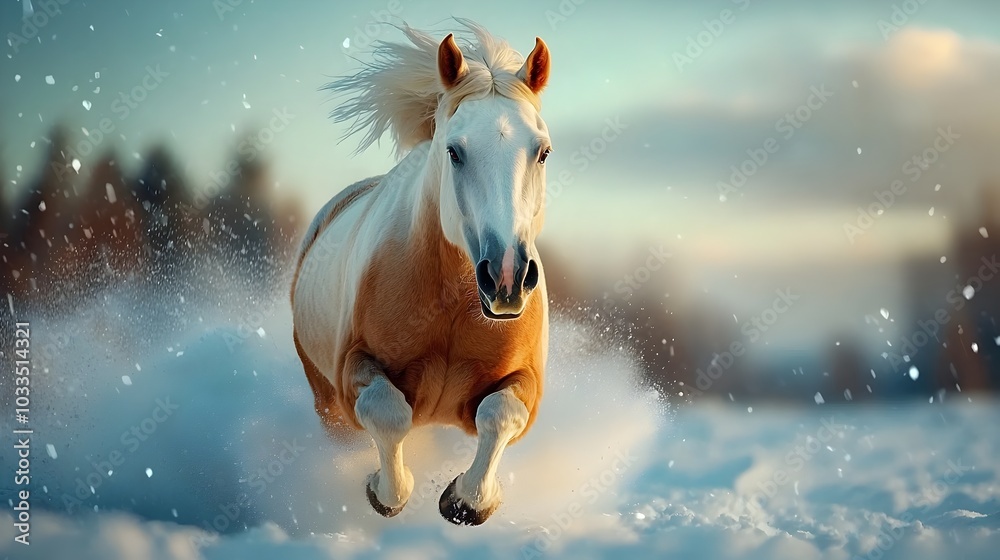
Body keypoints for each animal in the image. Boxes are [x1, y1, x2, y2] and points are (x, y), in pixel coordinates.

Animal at [290, 20, 552, 526]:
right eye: (453, 151)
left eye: (543, 152)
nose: (507, 277)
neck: (452, 306)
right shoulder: (354, 369)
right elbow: (388, 412)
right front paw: (386, 492)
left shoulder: (526, 382)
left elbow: (499, 415)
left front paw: (467, 501)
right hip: (326, 404)